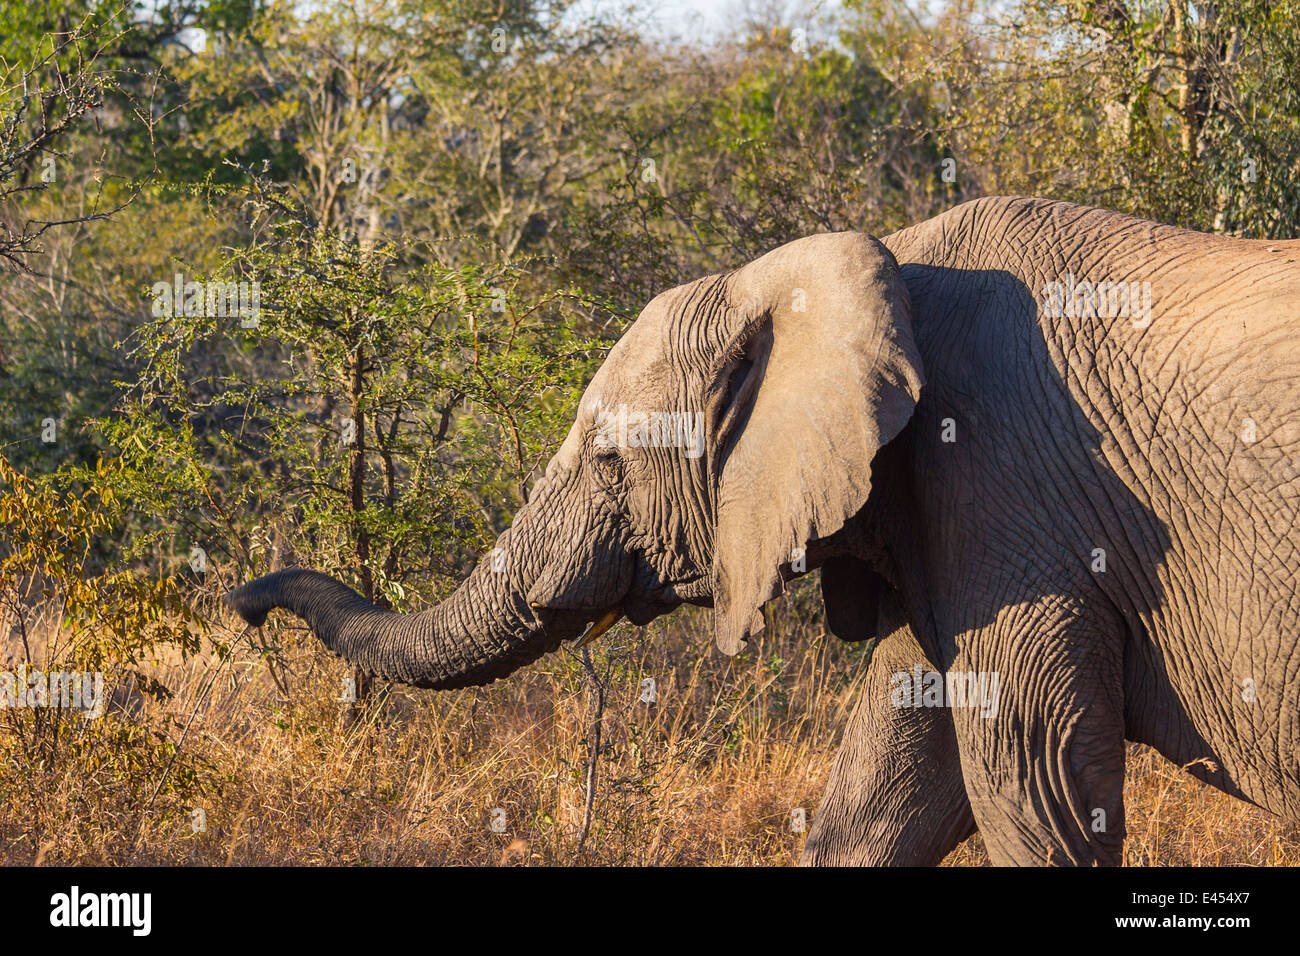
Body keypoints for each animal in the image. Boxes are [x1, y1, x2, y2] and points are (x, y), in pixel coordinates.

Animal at [226, 196, 1300, 865]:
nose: (243, 604)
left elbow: (1033, 792)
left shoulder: (1009, 493)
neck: (874, 268)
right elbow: (889, 788)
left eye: (610, 461)